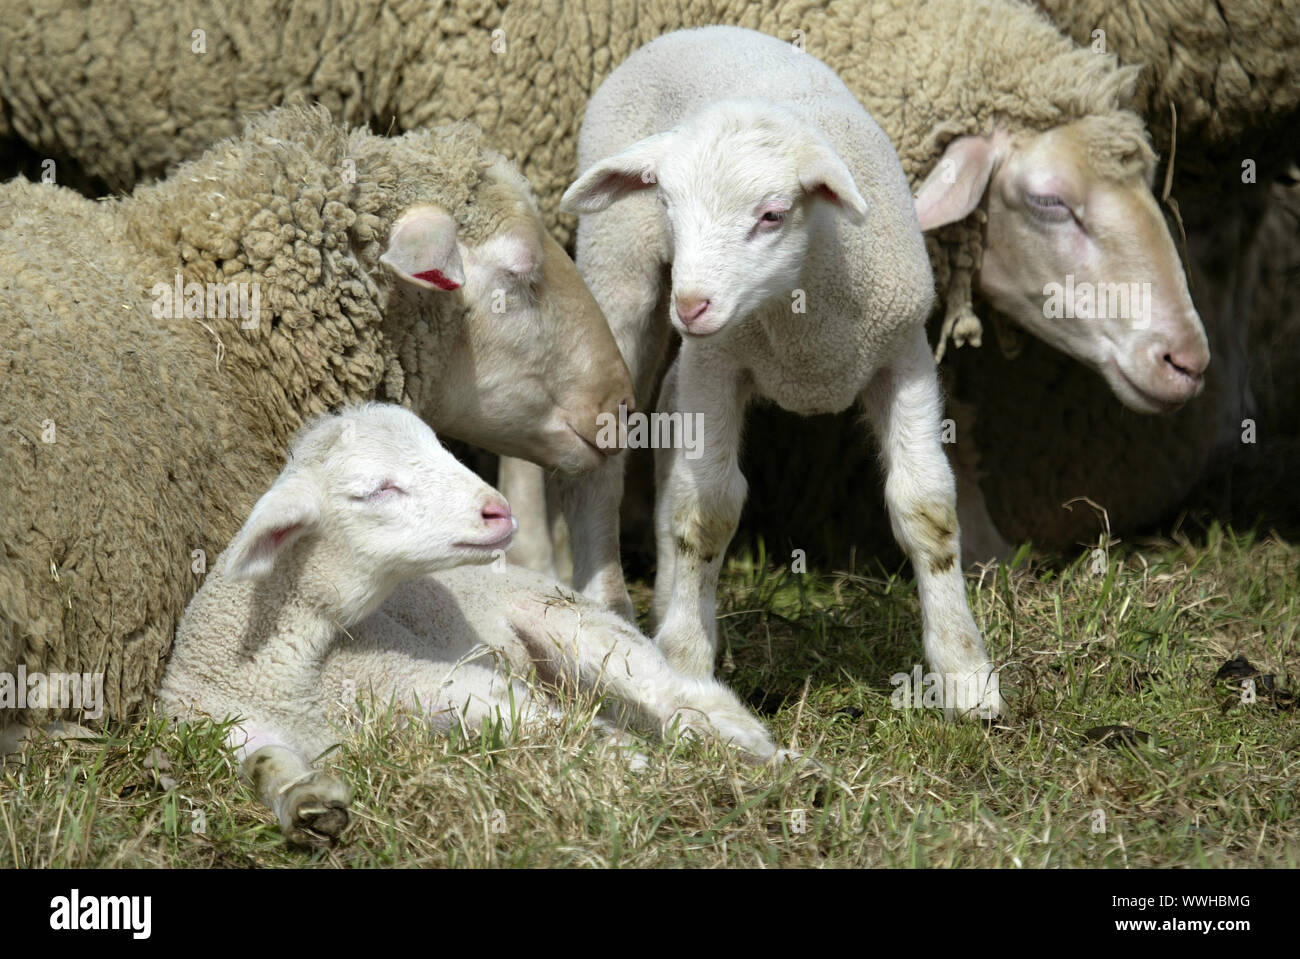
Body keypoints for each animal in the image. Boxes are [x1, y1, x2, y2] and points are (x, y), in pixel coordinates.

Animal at [157, 403, 783, 843]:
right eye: (377, 490)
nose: (498, 510)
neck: (293, 672)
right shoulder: (225, 726)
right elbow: (265, 767)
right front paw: (310, 805)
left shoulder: (436, 678)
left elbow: (550, 725)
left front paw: (627, 763)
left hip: (576, 624)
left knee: (684, 695)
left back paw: (774, 759)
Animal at [552, 27, 1002, 719]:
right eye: (669, 206)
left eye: (770, 215)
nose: (692, 304)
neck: (803, 330)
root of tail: (692, 30)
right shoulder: (719, 359)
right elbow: (706, 511)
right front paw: (687, 665)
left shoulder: (903, 355)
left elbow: (926, 506)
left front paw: (965, 673)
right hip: (619, 265)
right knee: (606, 450)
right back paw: (613, 608)